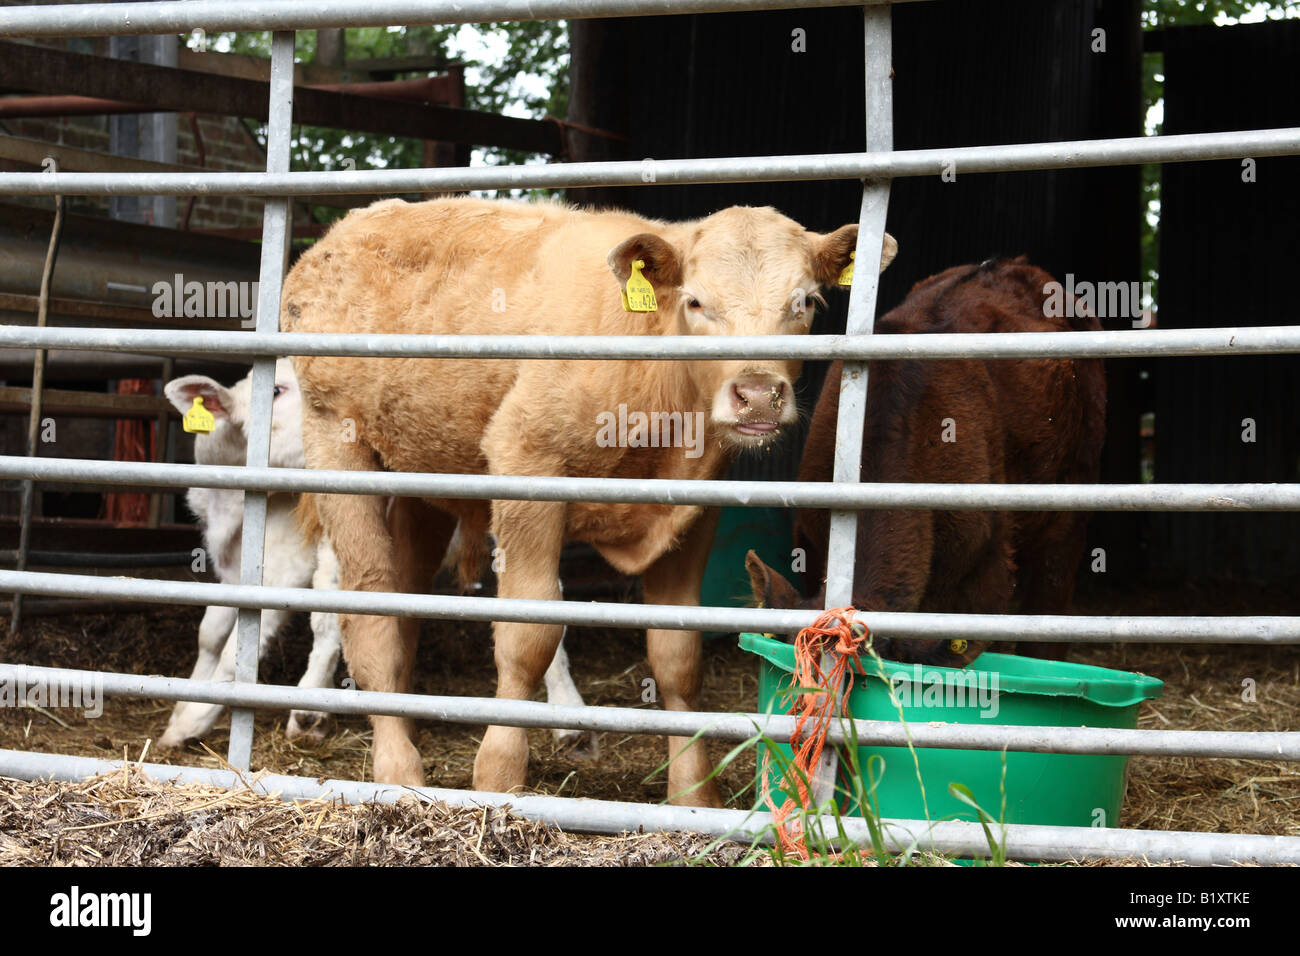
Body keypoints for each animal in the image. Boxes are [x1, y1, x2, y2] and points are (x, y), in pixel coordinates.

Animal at [284, 196, 896, 806]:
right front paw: (499, 775)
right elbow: (529, 637)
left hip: (423, 475)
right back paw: (398, 769)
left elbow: (678, 658)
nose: (758, 395)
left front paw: (694, 795)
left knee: (405, 606)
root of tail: (347, 229)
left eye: (806, 301)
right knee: (370, 610)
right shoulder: (525, 461)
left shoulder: (691, 513)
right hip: (335, 439)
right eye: (696, 301)